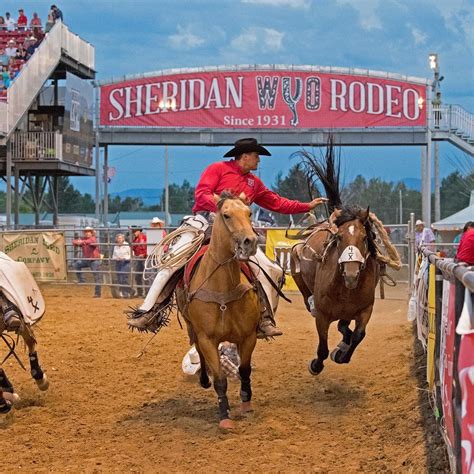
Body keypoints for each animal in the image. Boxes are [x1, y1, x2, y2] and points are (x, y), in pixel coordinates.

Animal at [176, 192, 262, 430]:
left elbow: (244, 370)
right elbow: (221, 380)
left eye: (249, 213)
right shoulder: (207, 339)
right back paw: (204, 379)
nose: (250, 242)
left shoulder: (248, 337)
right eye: (226, 215)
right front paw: (225, 416)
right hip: (192, 327)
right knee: (198, 350)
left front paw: (246, 404)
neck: (223, 287)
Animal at [290, 146, 398, 376]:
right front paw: (316, 364)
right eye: (338, 237)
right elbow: (322, 347)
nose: (350, 274)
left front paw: (341, 353)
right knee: (307, 299)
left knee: (343, 326)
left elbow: (358, 335)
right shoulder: (322, 317)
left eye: (365, 238)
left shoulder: (365, 310)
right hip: (297, 270)